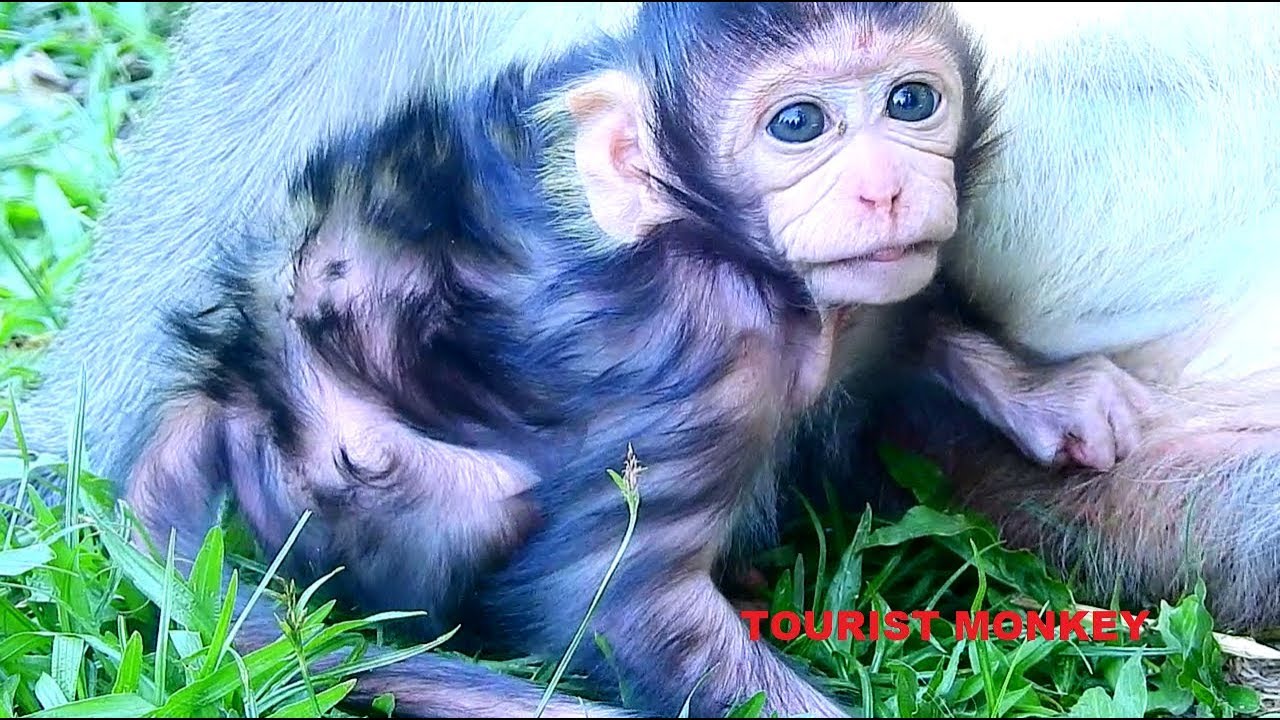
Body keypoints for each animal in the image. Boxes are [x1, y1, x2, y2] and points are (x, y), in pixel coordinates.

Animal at [105, 2, 1007, 717]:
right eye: (798, 124)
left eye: (911, 101)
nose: (884, 189)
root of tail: (225, 379)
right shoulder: (700, 359)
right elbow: (612, 606)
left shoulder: (872, 307)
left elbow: (929, 338)